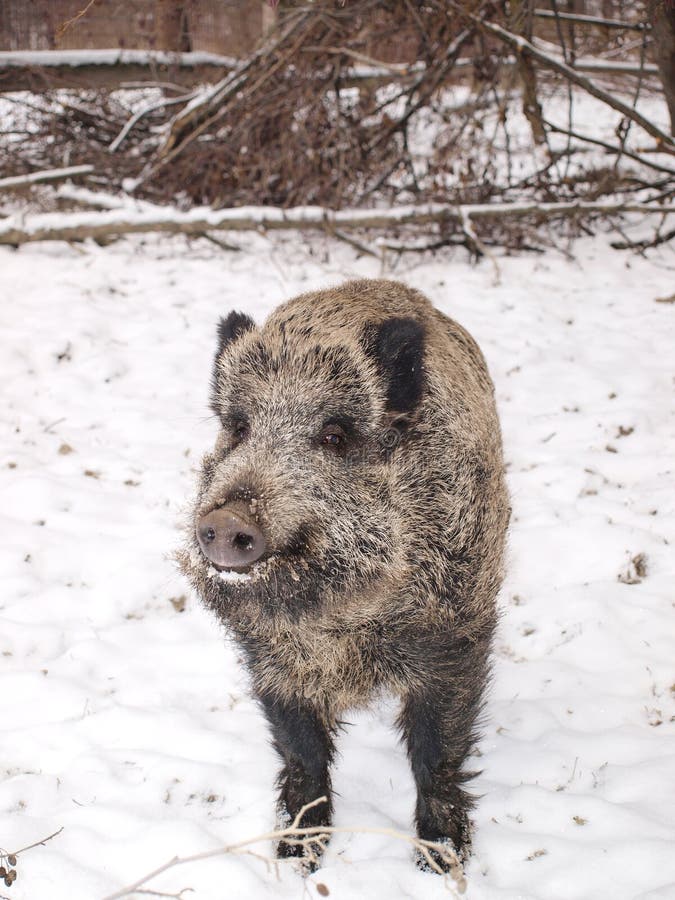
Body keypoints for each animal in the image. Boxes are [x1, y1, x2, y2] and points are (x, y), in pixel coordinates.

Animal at [178, 278, 509, 870]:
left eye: (334, 436)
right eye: (238, 428)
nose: (226, 521)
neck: (341, 621)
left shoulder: (459, 632)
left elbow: (437, 748)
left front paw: (442, 859)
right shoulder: (269, 656)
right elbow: (302, 749)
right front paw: (296, 855)